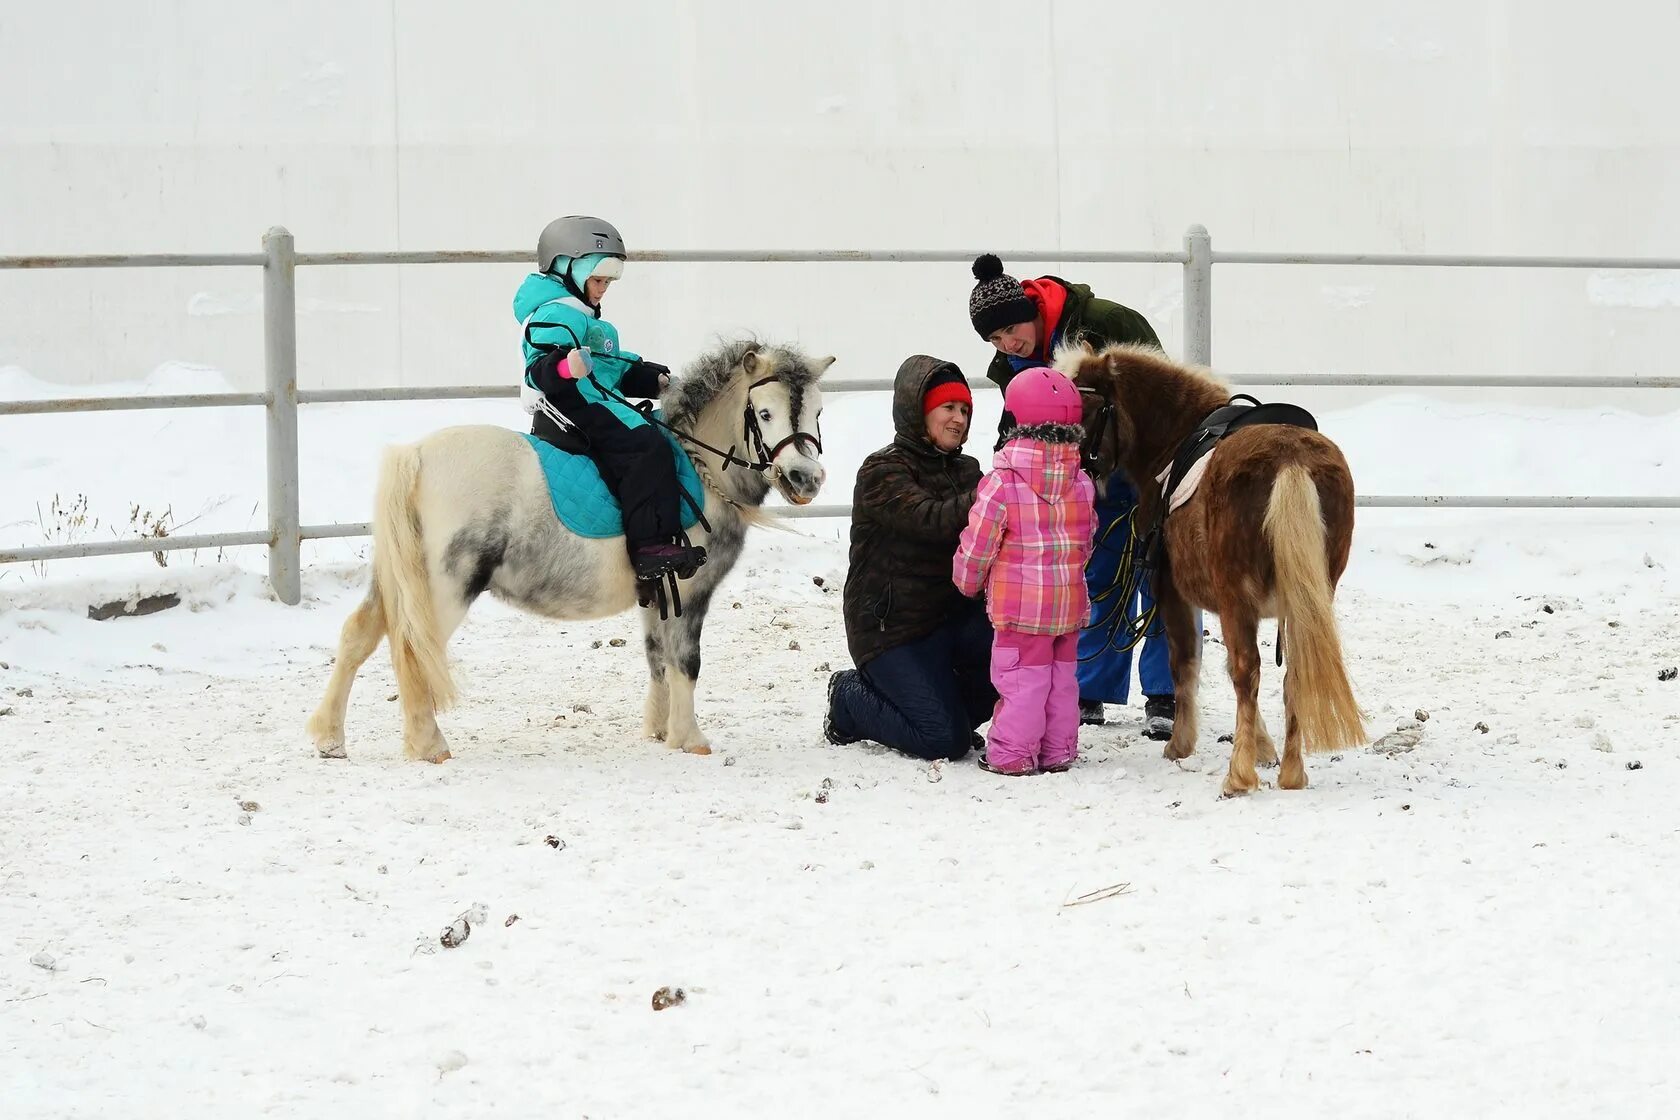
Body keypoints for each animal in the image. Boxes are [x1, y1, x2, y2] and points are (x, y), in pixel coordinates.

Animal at [305, 342, 829, 762]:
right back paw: (428, 744)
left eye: (817, 412)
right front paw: (690, 738)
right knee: (414, 648)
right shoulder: (690, 590)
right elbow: (685, 660)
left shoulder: (656, 590)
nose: (807, 479)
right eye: (764, 413)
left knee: (358, 636)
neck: (696, 470)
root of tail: (415, 456)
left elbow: (656, 657)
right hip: (443, 588)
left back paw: (330, 737)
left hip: (396, 581)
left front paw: (659, 731)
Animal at [1061, 344, 1364, 795]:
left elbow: (1184, 663)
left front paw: (1180, 745)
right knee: (1293, 676)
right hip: (1305, 601)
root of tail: (1290, 459)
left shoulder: (1171, 591)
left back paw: (1238, 775)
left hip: (1238, 596)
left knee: (1247, 670)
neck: (1174, 440)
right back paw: (1292, 773)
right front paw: (1264, 747)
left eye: (1087, 410)